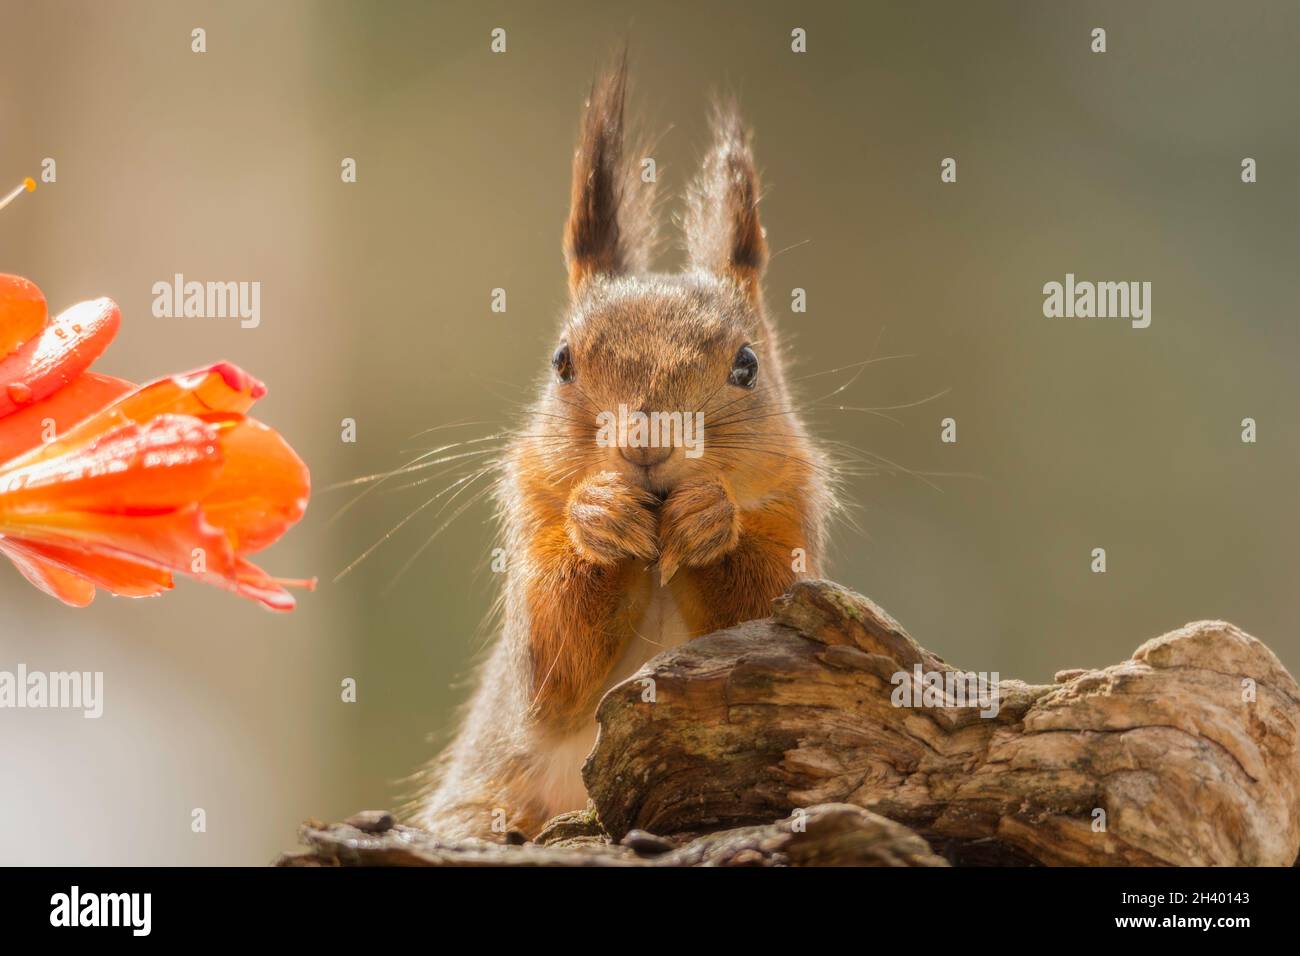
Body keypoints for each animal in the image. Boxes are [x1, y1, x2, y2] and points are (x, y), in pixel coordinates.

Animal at [412, 58, 831, 841]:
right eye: (561, 361)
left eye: (747, 365)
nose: (645, 444)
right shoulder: (531, 519)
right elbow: (553, 666)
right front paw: (600, 517)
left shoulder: (794, 519)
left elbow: (766, 611)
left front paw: (710, 517)